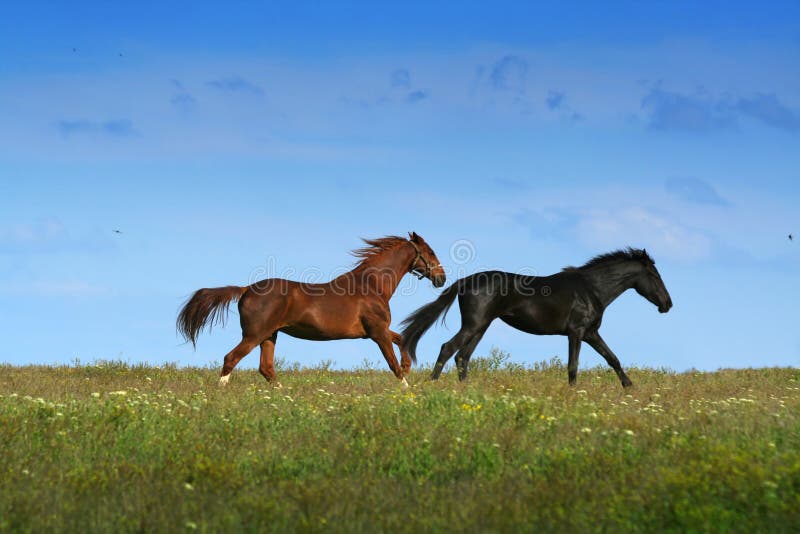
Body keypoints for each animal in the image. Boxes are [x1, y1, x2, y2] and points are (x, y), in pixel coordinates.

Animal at [177, 232, 446, 387]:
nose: (441, 278)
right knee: (231, 359)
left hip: (269, 336)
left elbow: (400, 339)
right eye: (430, 252)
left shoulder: (375, 331)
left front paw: (409, 367)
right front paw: (406, 390)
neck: (372, 285)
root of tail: (245, 289)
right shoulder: (377, 332)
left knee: (266, 368)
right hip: (254, 335)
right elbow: (392, 362)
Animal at [400, 248, 672, 388]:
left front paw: (629, 387)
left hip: (481, 326)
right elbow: (573, 366)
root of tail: (465, 281)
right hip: (474, 324)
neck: (591, 289)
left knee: (462, 357)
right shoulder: (576, 332)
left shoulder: (591, 333)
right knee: (448, 349)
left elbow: (612, 358)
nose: (667, 305)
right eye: (655, 276)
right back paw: (433, 385)